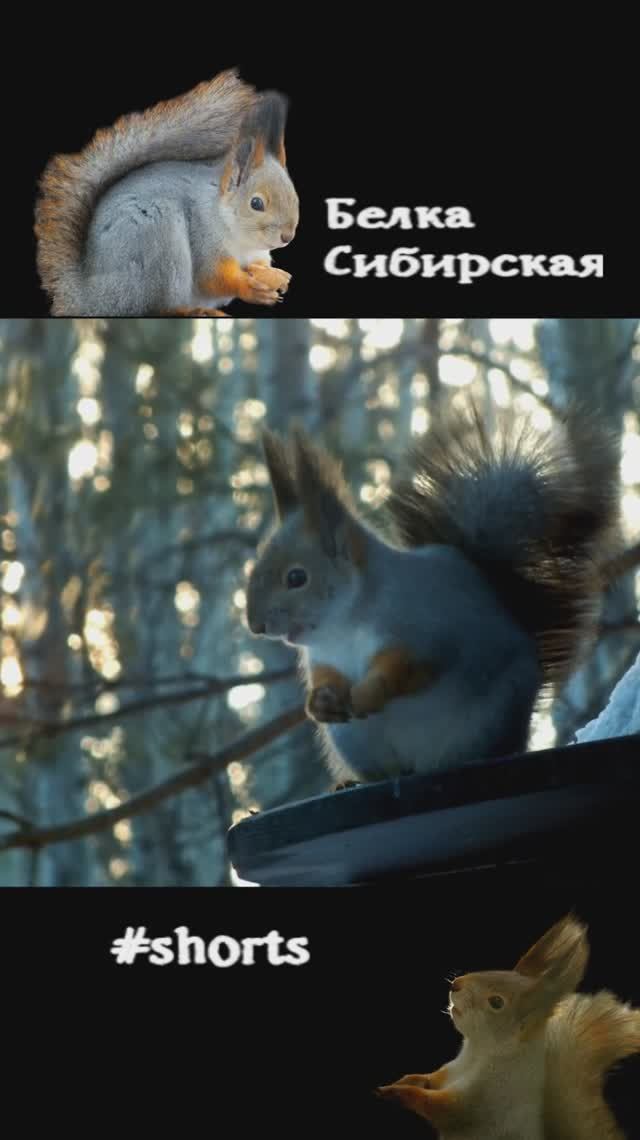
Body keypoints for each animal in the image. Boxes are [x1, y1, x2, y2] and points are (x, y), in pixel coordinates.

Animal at [34, 68, 299, 317]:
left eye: (295, 198)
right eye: (256, 203)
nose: (287, 237)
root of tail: (91, 296)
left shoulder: (256, 254)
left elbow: (257, 266)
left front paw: (273, 275)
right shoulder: (204, 237)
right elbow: (212, 278)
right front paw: (251, 289)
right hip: (159, 239)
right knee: (158, 307)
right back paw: (194, 310)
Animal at [245, 401, 620, 784]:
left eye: (296, 577)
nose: (255, 625)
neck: (343, 625)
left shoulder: (427, 628)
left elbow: (410, 667)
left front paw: (367, 694)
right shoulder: (324, 658)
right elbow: (327, 679)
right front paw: (319, 702)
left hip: (486, 724)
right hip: (355, 741)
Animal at [376, 914, 640, 1140]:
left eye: (496, 1002)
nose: (455, 984)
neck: (478, 1052)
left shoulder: (484, 1100)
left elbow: (442, 1109)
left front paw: (396, 1093)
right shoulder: (451, 1071)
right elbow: (431, 1079)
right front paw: (406, 1079)